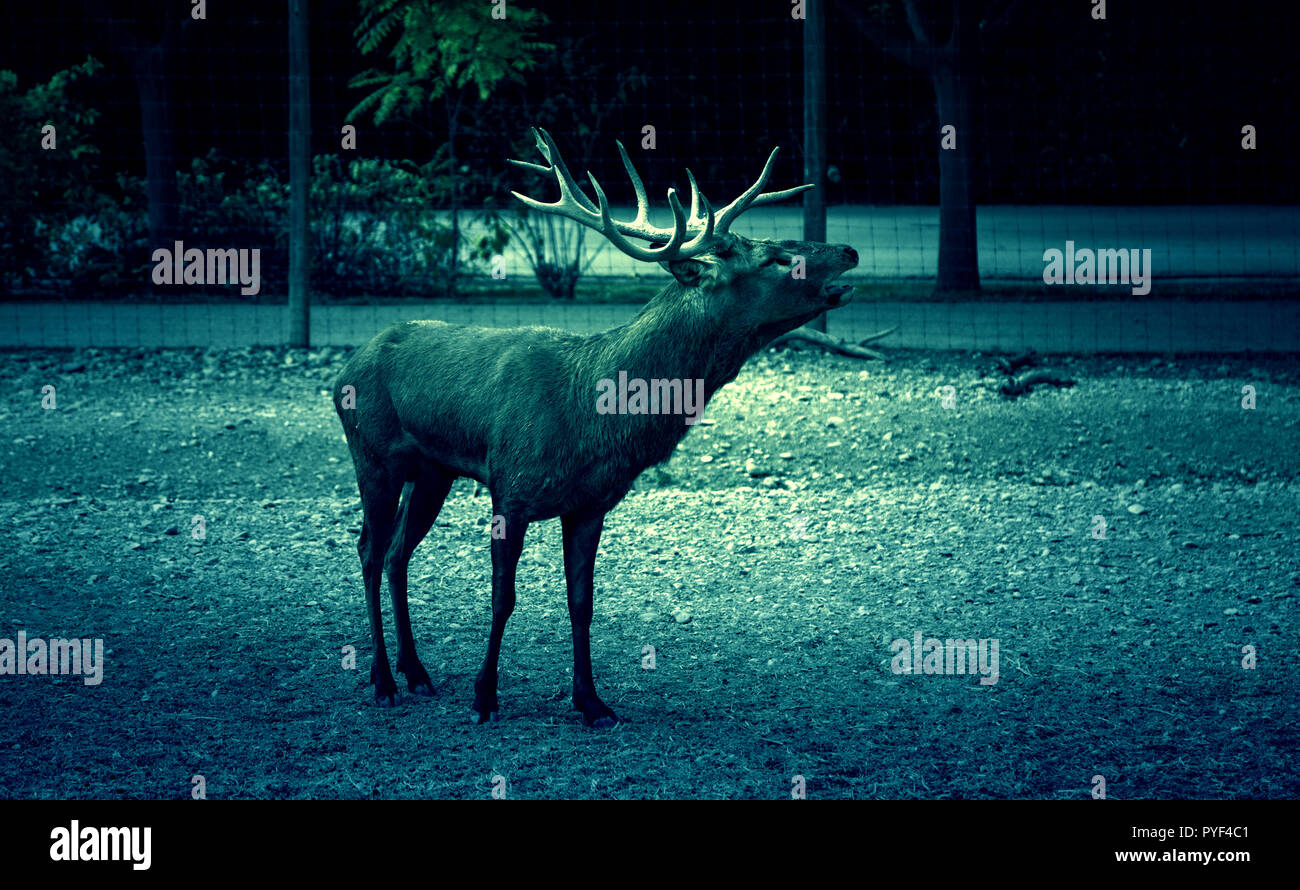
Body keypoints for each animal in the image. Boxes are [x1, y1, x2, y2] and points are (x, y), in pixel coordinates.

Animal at [333, 128, 858, 727]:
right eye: (776, 257)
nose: (849, 251)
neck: (592, 413)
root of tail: (342, 371)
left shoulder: (590, 504)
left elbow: (581, 602)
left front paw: (591, 702)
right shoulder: (511, 488)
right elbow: (503, 597)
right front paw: (485, 696)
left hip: (433, 473)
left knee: (398, 552)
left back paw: (417, 674)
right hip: (372, 454)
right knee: (369, 550)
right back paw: (382, 681)